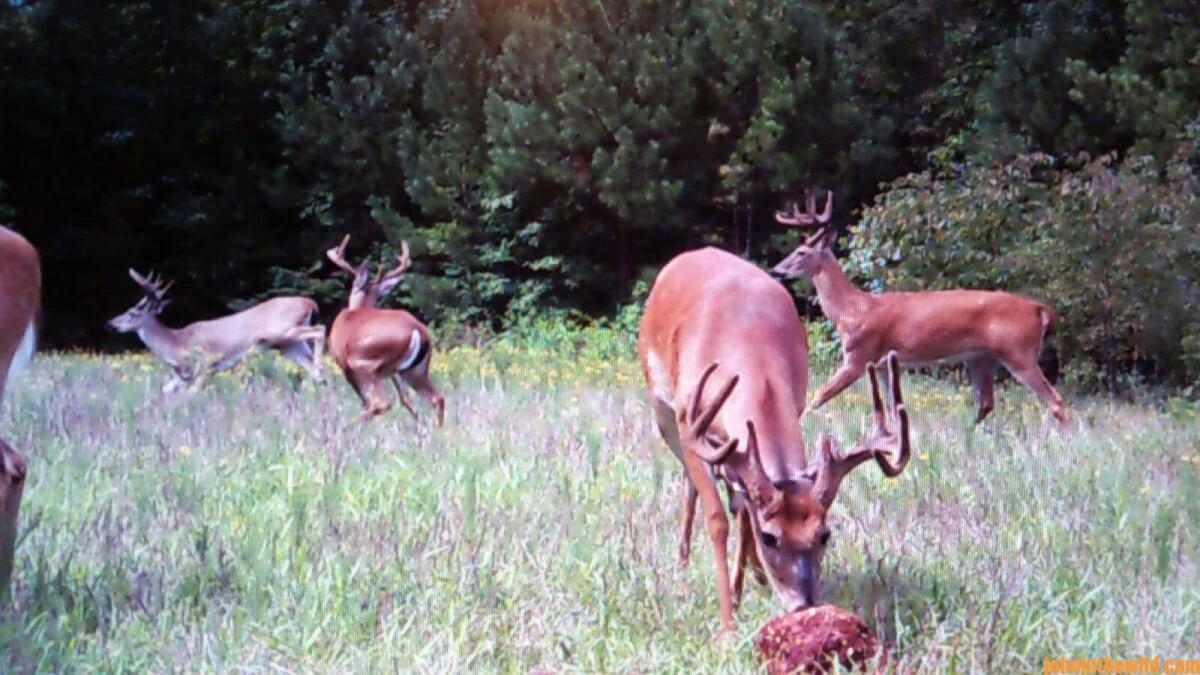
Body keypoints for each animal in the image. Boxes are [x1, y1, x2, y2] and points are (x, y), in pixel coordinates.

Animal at [106, 270, 326, 393]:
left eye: (132, 313)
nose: (110, 323)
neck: (176, 344)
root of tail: (309, 302)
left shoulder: (204, 362)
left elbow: (193, 391)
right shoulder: (182, 375)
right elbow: (166, 390)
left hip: (282, 331)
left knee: (320, 330)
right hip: (289, 345)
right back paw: (316, 382)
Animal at [325, 235, 444, 426]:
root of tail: (418, 330)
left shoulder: (345, 365)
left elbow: (365, 401)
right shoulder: (393, 374)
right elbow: (405, 399)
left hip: (365, 362)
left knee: (382, 403)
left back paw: (347, 426)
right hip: (414, 370)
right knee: (436, 398)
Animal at [639, 245, 912, 640]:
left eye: (824, 534)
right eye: (771, 538)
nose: (804, 605)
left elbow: (744, 512)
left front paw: (745, 588)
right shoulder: (689, 422)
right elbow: (717, 519)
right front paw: (727, 625)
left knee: (737, 500)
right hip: (662, 406)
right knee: (692, 484)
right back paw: (683, 562)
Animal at [770, 190, 1067, 427]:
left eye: (802, 253)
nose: (775, 271)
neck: (853, 309)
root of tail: (1040, 308)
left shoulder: (857, 356)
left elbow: (815, 400)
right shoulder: (881, 364)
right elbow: (891, 409)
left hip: (1018, 351)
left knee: (1055, 400)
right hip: (982, 357)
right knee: (986, 403)